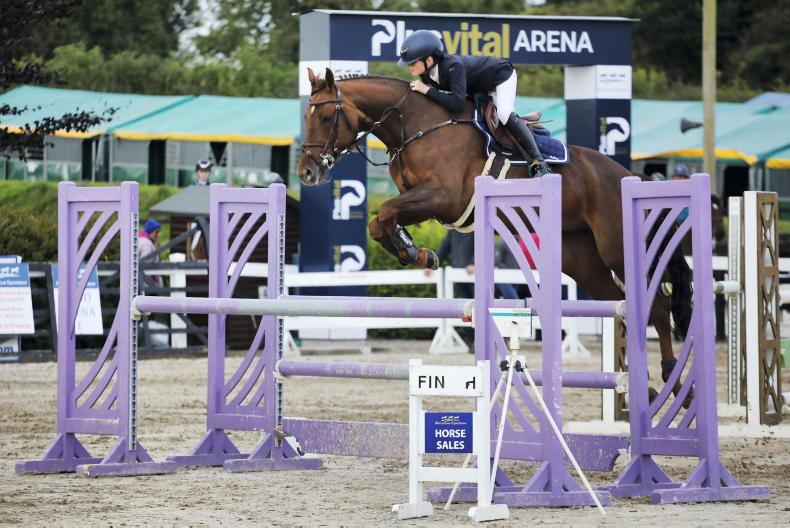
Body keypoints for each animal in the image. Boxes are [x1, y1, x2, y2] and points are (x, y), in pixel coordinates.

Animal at [297, 68, 693, 397]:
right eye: (306, 117)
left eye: (327, 117)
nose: (306, 172)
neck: (417, 125)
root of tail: (629, 175)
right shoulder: (419, 198)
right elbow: (380, 222)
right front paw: (418, 252)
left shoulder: (442, 196)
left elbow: (385, 213)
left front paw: (414, 252)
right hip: (580, 258)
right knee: (620, 306)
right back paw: (638, 386)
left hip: (616, 246)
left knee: (656, 306)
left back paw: (672, 380)